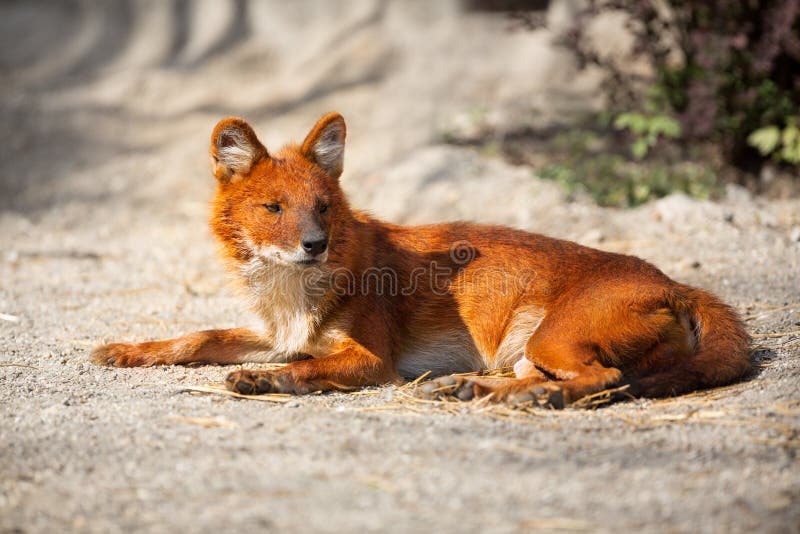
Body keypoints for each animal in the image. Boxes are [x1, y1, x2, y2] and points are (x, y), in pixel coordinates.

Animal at [91, 112, 752, 408]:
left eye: (323, 207)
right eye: (273, 207)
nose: (314, 244)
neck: (290, 287)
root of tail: (674, 282)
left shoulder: (369, 358)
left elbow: (310, 366)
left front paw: (264, 380)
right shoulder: (277, 335)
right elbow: (197, 336)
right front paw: (127, 349)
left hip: (554, 335)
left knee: (602, 379)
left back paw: (525, 399)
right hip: (527, 348)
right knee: (548, 376)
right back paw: (469, 387)